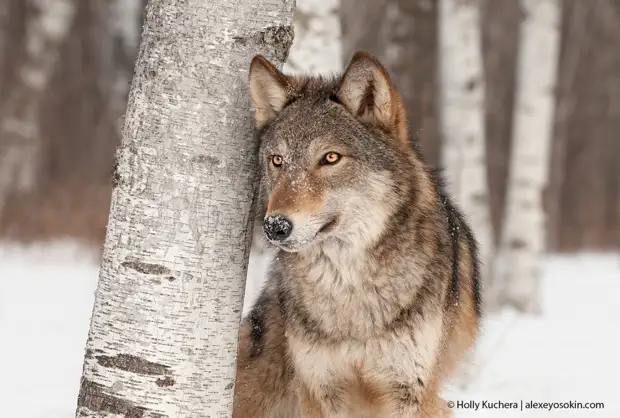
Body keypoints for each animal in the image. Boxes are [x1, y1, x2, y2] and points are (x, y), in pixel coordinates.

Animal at [232, 50, 484, 416]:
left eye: (330, 158)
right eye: (277, 160)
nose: (275, 226)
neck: (348, 289)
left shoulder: (412, 391)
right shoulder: (320, 388)